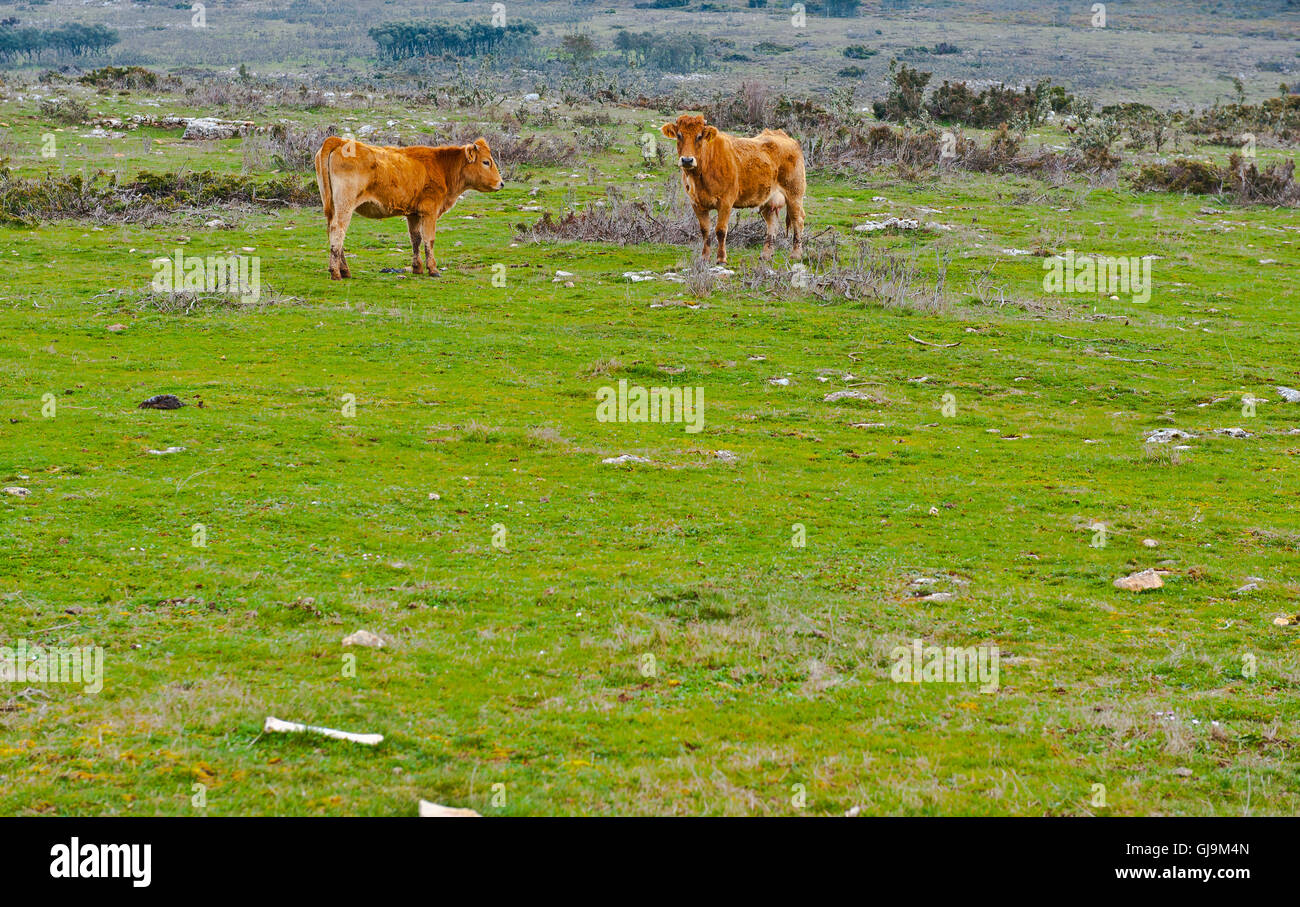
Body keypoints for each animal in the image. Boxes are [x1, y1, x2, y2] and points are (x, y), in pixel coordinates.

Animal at [313, 135, 504, 279]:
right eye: (486, 162)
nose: (501, 183)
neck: (441, 167)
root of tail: (339, 140)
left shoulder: (413, 213)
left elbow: (416, 239)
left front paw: (417, 267)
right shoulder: (430, 211)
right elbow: (429, 239)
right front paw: (433, 269)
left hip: (331, 207)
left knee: (332, 231)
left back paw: (344, 270)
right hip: (345, 206)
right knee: (338, 231)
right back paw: (336, 272)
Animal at [660, 114, 806, 265]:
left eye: (699, 136)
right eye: (679, 135)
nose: (687, 160)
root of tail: (784, 136)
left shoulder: (726, 202)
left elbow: (720, 230)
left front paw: (721, 258)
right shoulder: (696, 203)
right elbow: (705, 230)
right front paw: (705, 257)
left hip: (794, 194)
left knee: (798, 220)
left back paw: (796, 254)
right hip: (768, 199)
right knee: (772, 223)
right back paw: (766, 255)